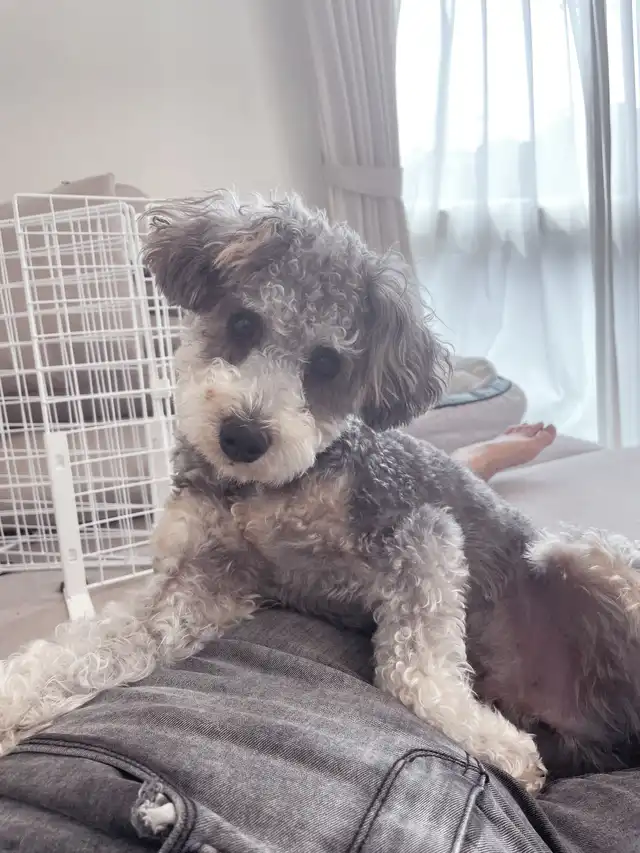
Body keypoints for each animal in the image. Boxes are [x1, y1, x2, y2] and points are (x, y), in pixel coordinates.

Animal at [2, 192, 640, 794]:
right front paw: (17, 697)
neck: (261, 493)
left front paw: (492, 742)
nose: (241, 437)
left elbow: (414, 670)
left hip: (585, 556)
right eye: (243, 323)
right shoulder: (202, 579)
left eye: (328, 363)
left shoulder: (421, 533)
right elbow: (97, 646)